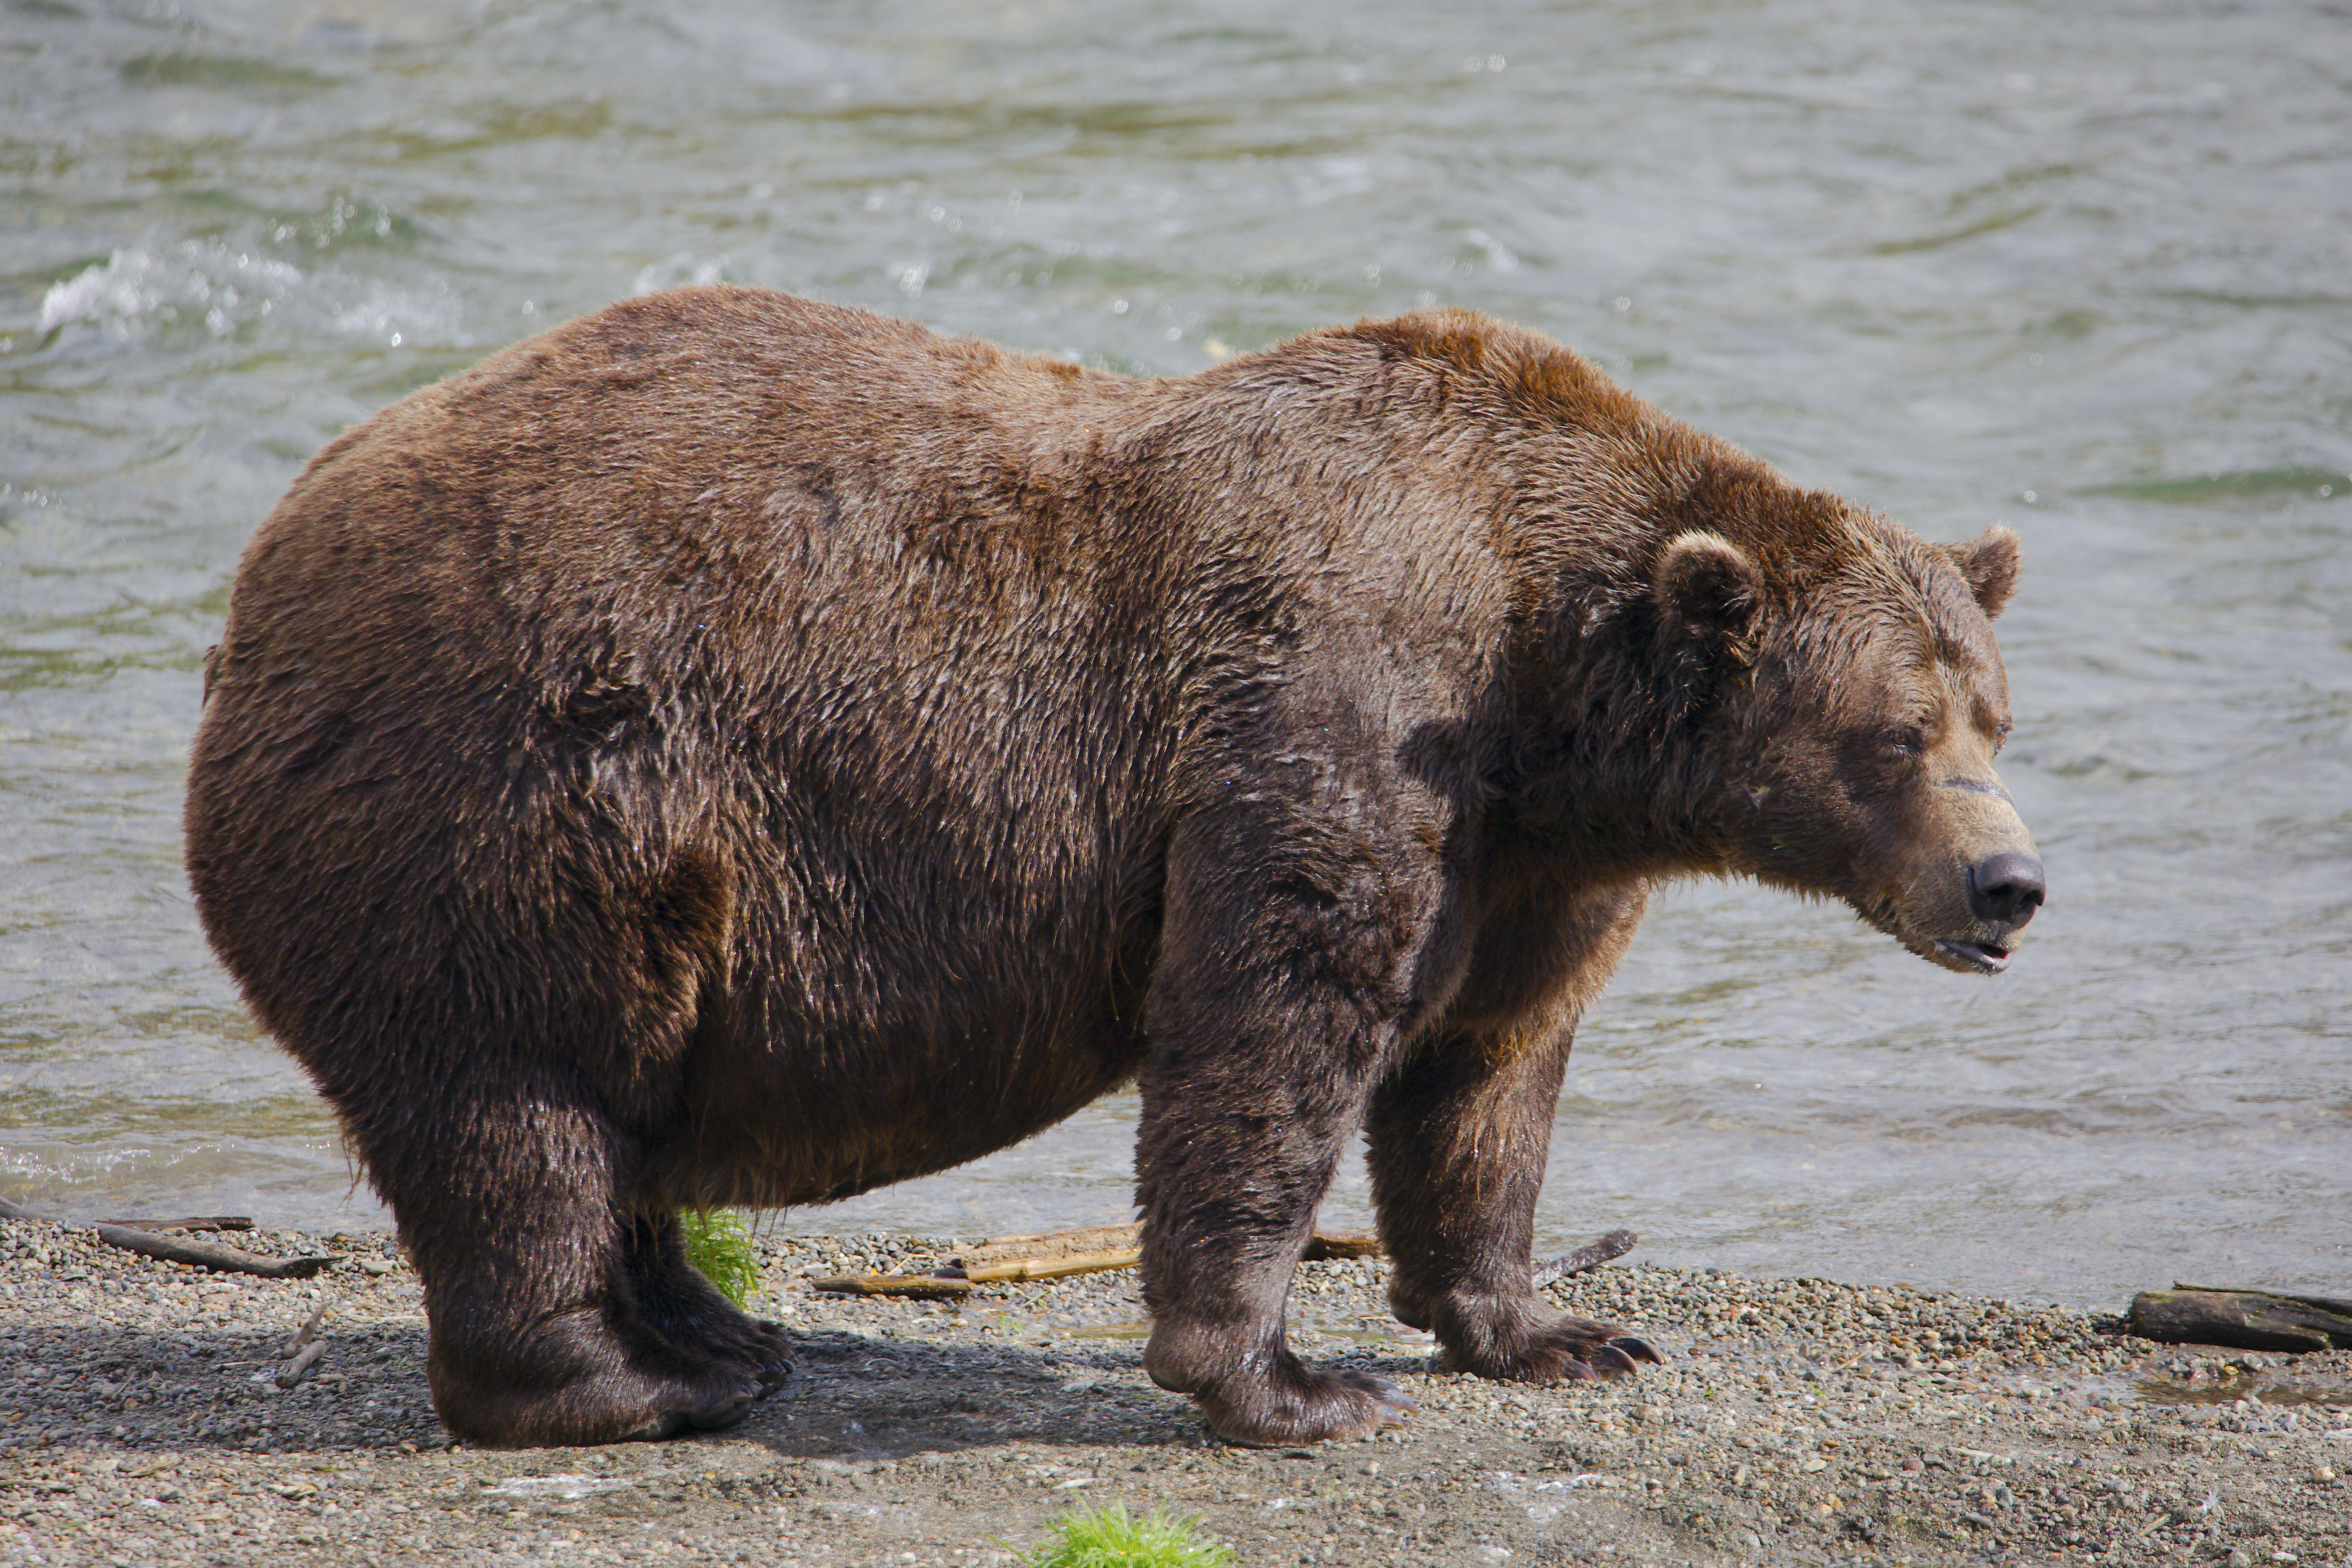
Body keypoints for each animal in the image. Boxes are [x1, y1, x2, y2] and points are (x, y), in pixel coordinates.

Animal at [183, 287, 2045, 1449]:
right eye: (1894, 734)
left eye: (1994, 712)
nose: (2008, 885)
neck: (1548, 680)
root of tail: (256, 578)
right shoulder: (1332, 703)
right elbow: (1271, 1023)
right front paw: (1289, 1383)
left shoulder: (1530, 857)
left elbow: (1485, 1072)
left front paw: (1556, 1329)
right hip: (509, 797)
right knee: (518, 1103)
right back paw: (627, 1382)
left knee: (612, 1107)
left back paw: (720, 1332)